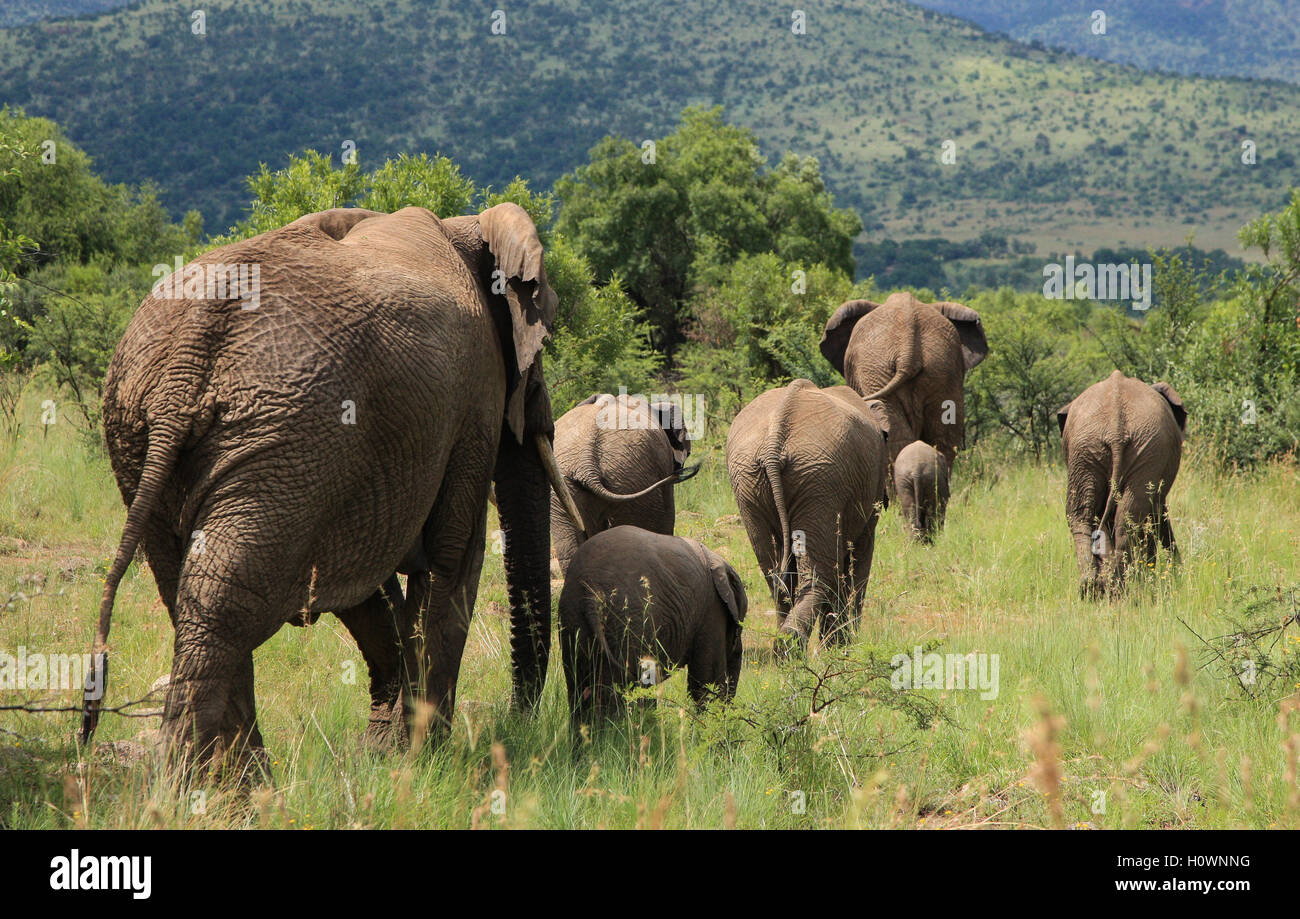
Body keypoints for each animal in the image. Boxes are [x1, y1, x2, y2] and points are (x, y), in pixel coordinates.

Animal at [81, 203, 588, 773]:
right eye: (537, 356)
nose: (520, 720)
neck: (464, 227)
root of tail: (182, 367)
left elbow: (366, 581)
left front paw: (384, 753)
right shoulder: (474, 398)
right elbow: (454, 558)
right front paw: (423, 758)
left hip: (151, 433)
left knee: (189, 592)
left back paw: (238, 783)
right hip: (282, 437)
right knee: (223, 601)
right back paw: (205, 784)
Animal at [558, 526, 747, 723]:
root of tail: (591, 590)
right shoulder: (712, 609)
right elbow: (705, 681)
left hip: (573, 614)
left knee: (577, 681)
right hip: (630, 619)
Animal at [726, 379, 890, 653]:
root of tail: (773, 445)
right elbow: (858, 555)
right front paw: (842, 646)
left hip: (751, 480)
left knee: (775, 576)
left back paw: (785, 648)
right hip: (821, 479)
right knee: (817, 575)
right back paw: (793, 647)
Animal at [1057, 370, 1186, 598]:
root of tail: (1115, 427)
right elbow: (1158, 513)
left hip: (1086, 449)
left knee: (1083, 514)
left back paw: (1094, 587)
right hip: (1147, 451)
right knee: (1130, 516)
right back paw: (1121, 587)